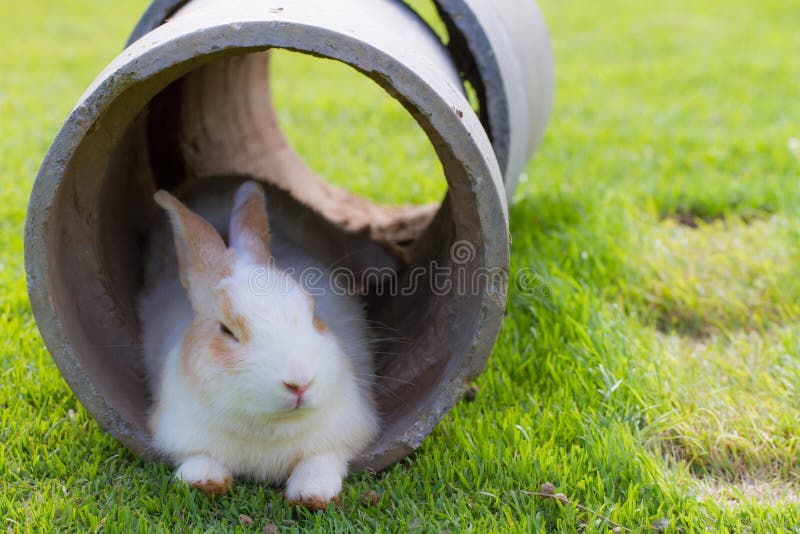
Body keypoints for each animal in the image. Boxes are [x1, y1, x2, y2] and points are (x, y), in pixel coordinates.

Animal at [137, 180, 379, 508]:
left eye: (312, 312)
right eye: (227, 330)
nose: (300, 383)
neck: (266, 425)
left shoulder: (344, 431)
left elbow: (321, 460)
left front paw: (312, 494)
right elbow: (198, 456)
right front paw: (204, 482)